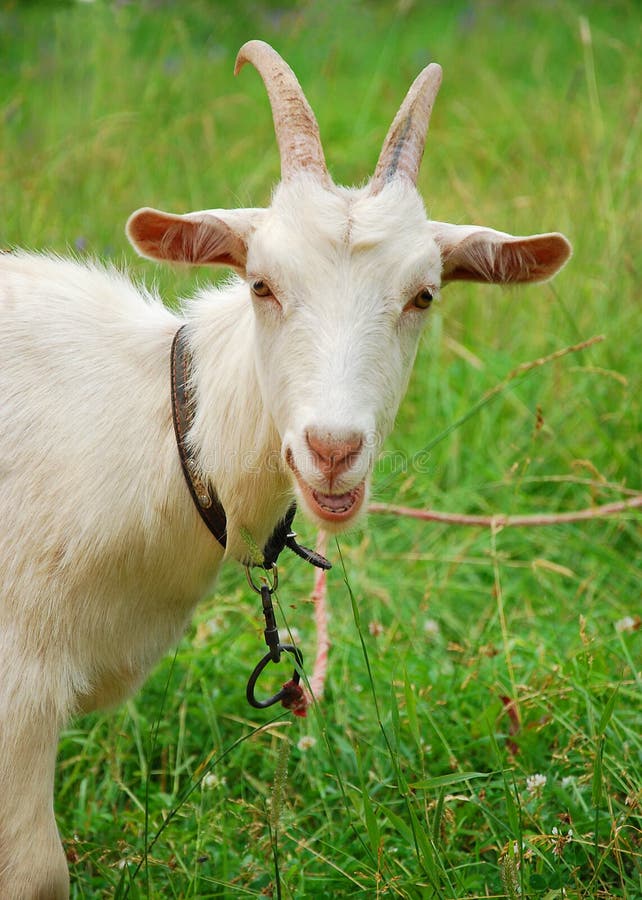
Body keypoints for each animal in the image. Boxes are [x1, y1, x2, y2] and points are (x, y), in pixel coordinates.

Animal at [0, 40, 571, 898]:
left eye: (424, 295)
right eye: (261, 283)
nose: (332, 450)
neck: (161, 432)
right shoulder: (17, 690)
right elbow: (38, 872)